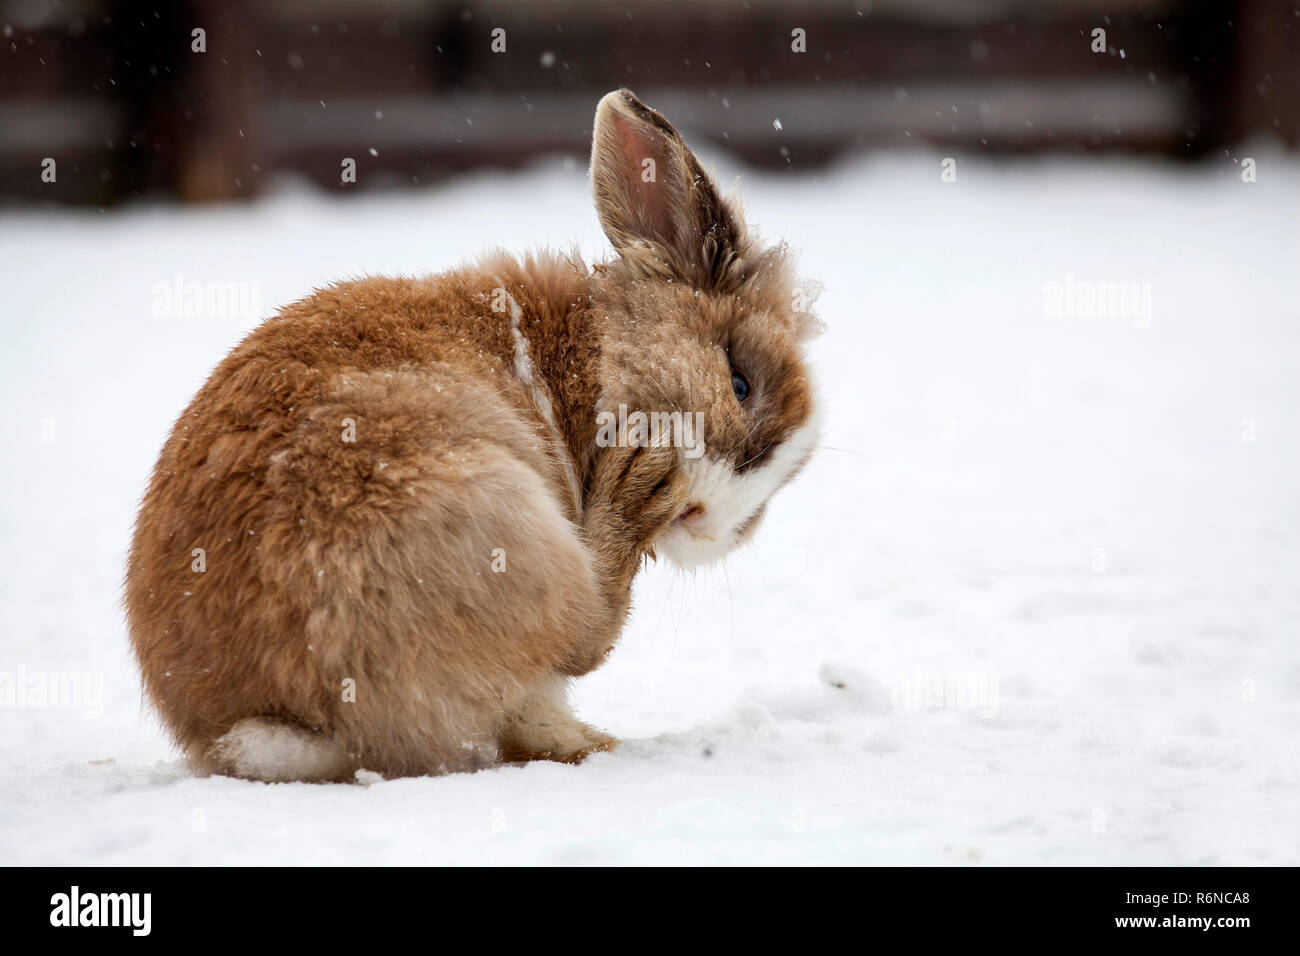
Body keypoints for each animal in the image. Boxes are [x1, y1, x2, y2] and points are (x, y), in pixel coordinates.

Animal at [125, 89, 822, 782]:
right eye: (738, 382)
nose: (707, 520)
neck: (590, 355)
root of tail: (277, 722)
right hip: (512, 521)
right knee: (582, 639)